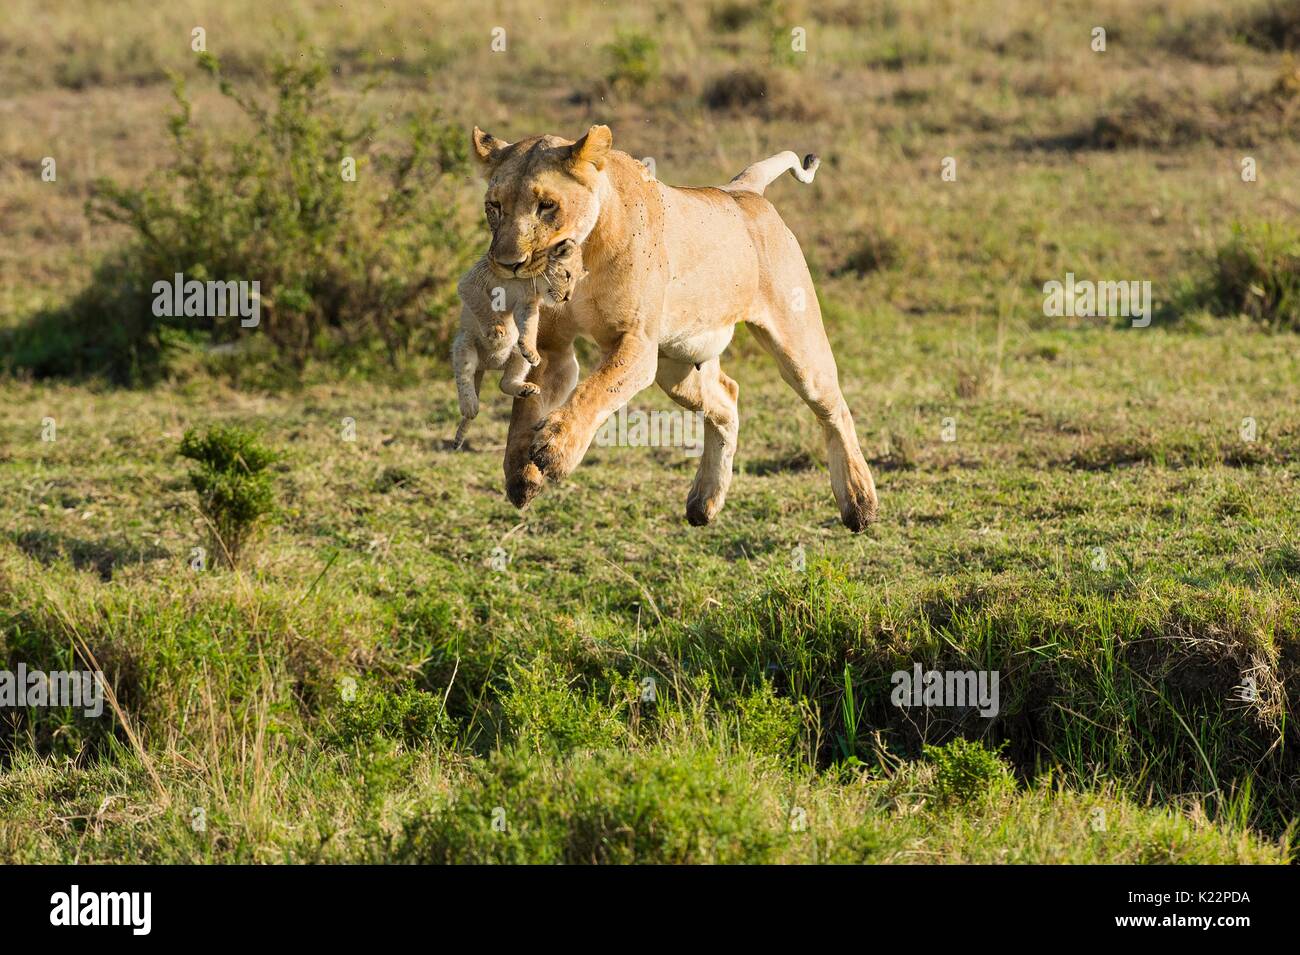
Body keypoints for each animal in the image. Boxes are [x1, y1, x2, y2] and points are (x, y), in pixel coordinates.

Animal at [451, 239, 585, 447]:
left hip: (515, 355)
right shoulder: (470, 283)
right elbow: (483, 305)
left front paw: (531, 350)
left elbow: (529, 326)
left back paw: (525, 388)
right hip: (464, 343)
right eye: (567, 275)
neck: (521, 280)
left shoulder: (527, 304)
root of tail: (486, 365)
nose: (567, 298)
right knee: (464, 376)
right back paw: (469, 405)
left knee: (504, 383)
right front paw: (496, 329)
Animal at [469, 124, 879, 531]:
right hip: (677, 365)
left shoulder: (637, 343)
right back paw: (705, 501)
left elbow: (593, 391)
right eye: (495, 207)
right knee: (726, 399)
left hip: (797, 347)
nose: (509, 264)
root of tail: (742, 190)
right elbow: (525, 409)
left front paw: (554, 449)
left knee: (835, 410)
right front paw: (520, 474)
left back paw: (859, 503)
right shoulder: (552, 349)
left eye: (547, 205)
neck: (578, 261)